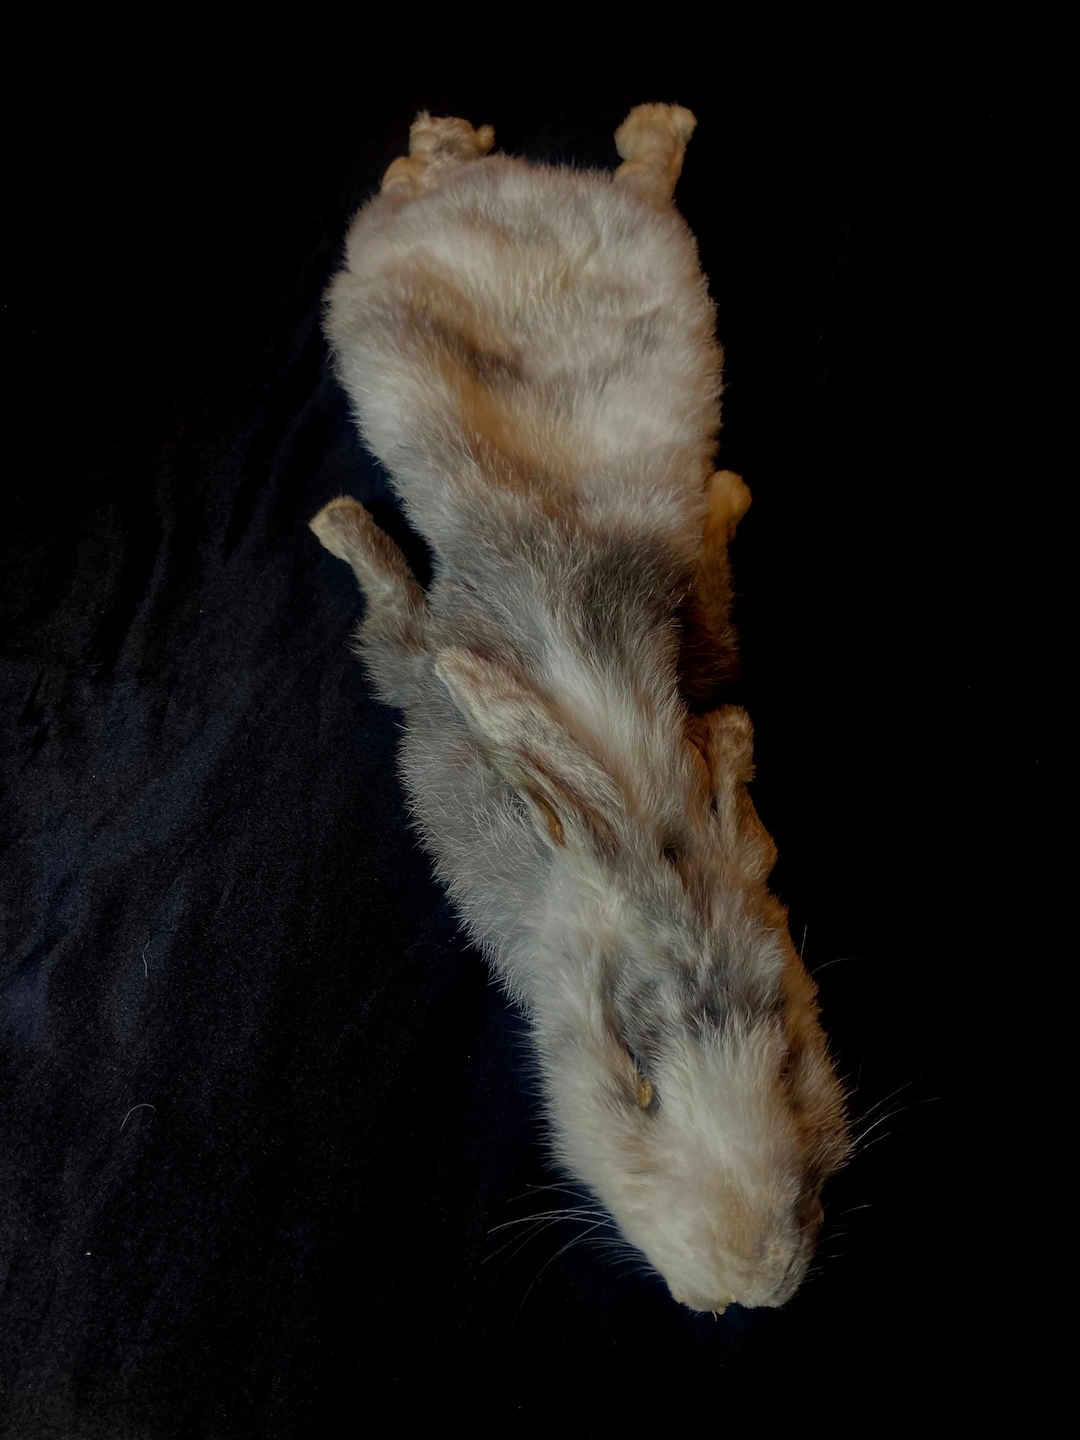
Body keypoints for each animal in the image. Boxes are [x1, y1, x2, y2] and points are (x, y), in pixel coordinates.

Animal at [310, 105, 851, 1313]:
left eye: (795, 1061)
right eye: (639, 1082)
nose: (752, 1287)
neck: (628, 762)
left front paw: (729, 500)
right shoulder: (411, 668)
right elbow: (391, 619)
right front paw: (340, 529)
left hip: (644, 235)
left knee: (641, 175)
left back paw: (636, 128)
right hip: (389, 246)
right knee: (435, 181)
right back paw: (449, 140)